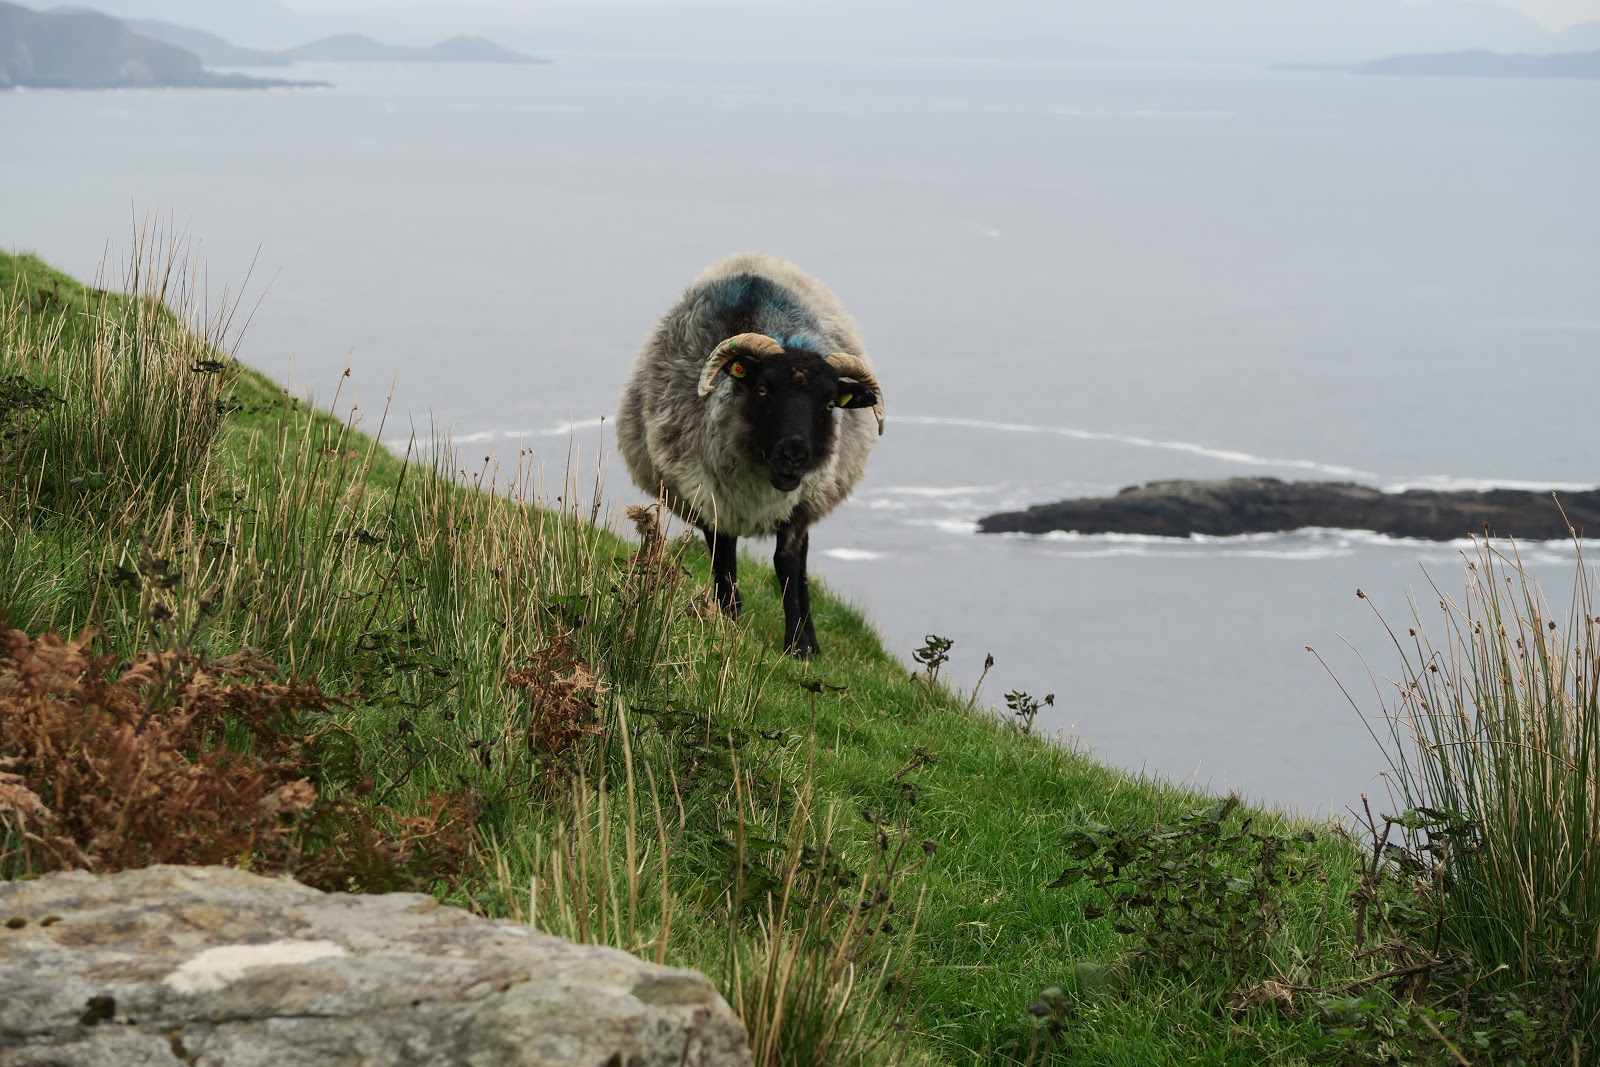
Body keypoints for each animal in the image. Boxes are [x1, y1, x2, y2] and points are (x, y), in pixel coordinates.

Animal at [616, 253, 885, 657]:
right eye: (762, 390)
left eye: (829, 403)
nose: (794, 454)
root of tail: (754, 257)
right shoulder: (709, 498)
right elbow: (722, 559)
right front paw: (727, 621)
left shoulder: (799, 505)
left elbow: (788, 563)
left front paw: (800, 647)